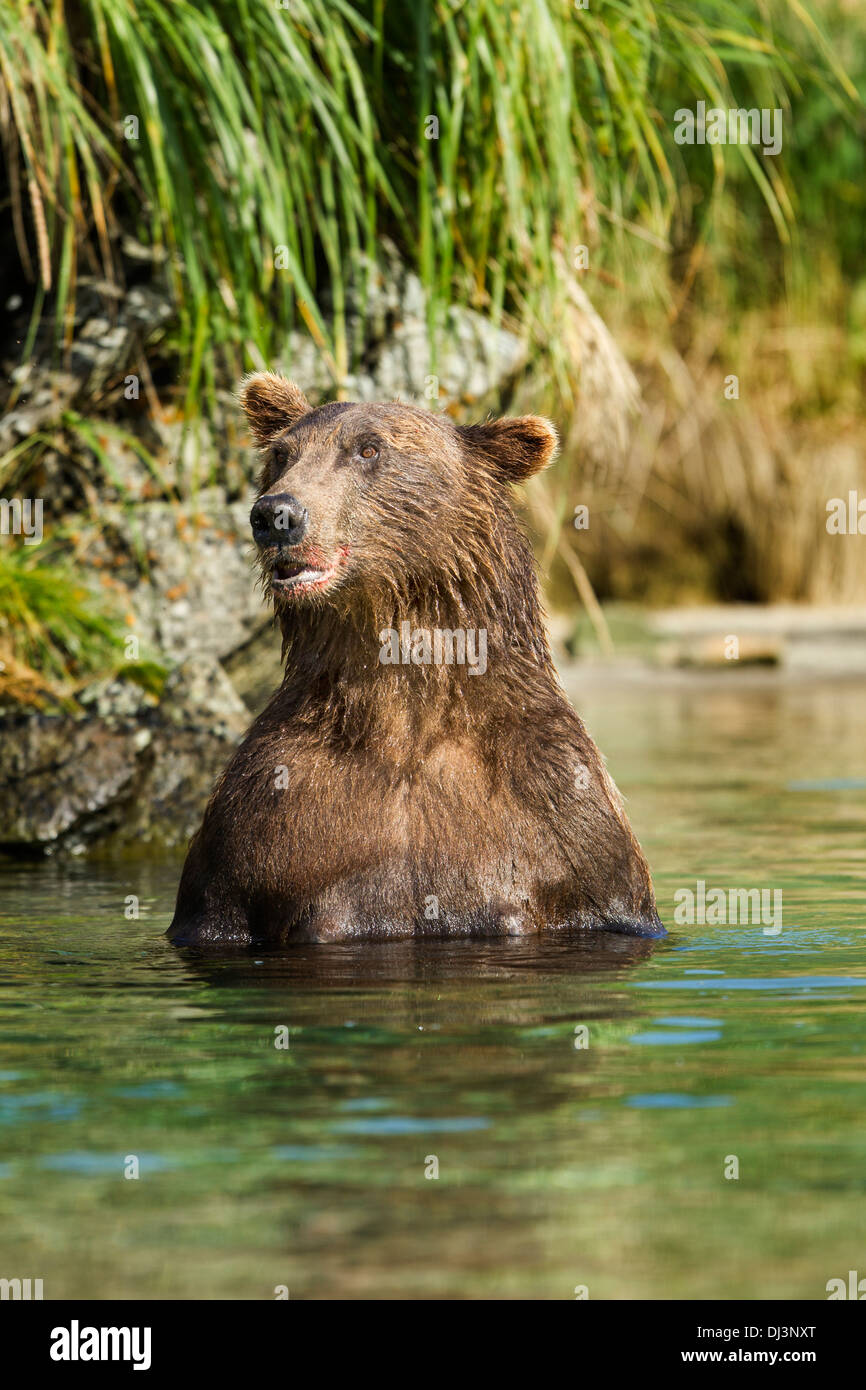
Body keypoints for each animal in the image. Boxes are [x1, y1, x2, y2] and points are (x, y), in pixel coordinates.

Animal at [168, 373, 663, 947]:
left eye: (368, 449)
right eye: (282, 454)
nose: (276, 514)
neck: (404, 709)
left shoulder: (564, 813)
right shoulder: (259, 820)